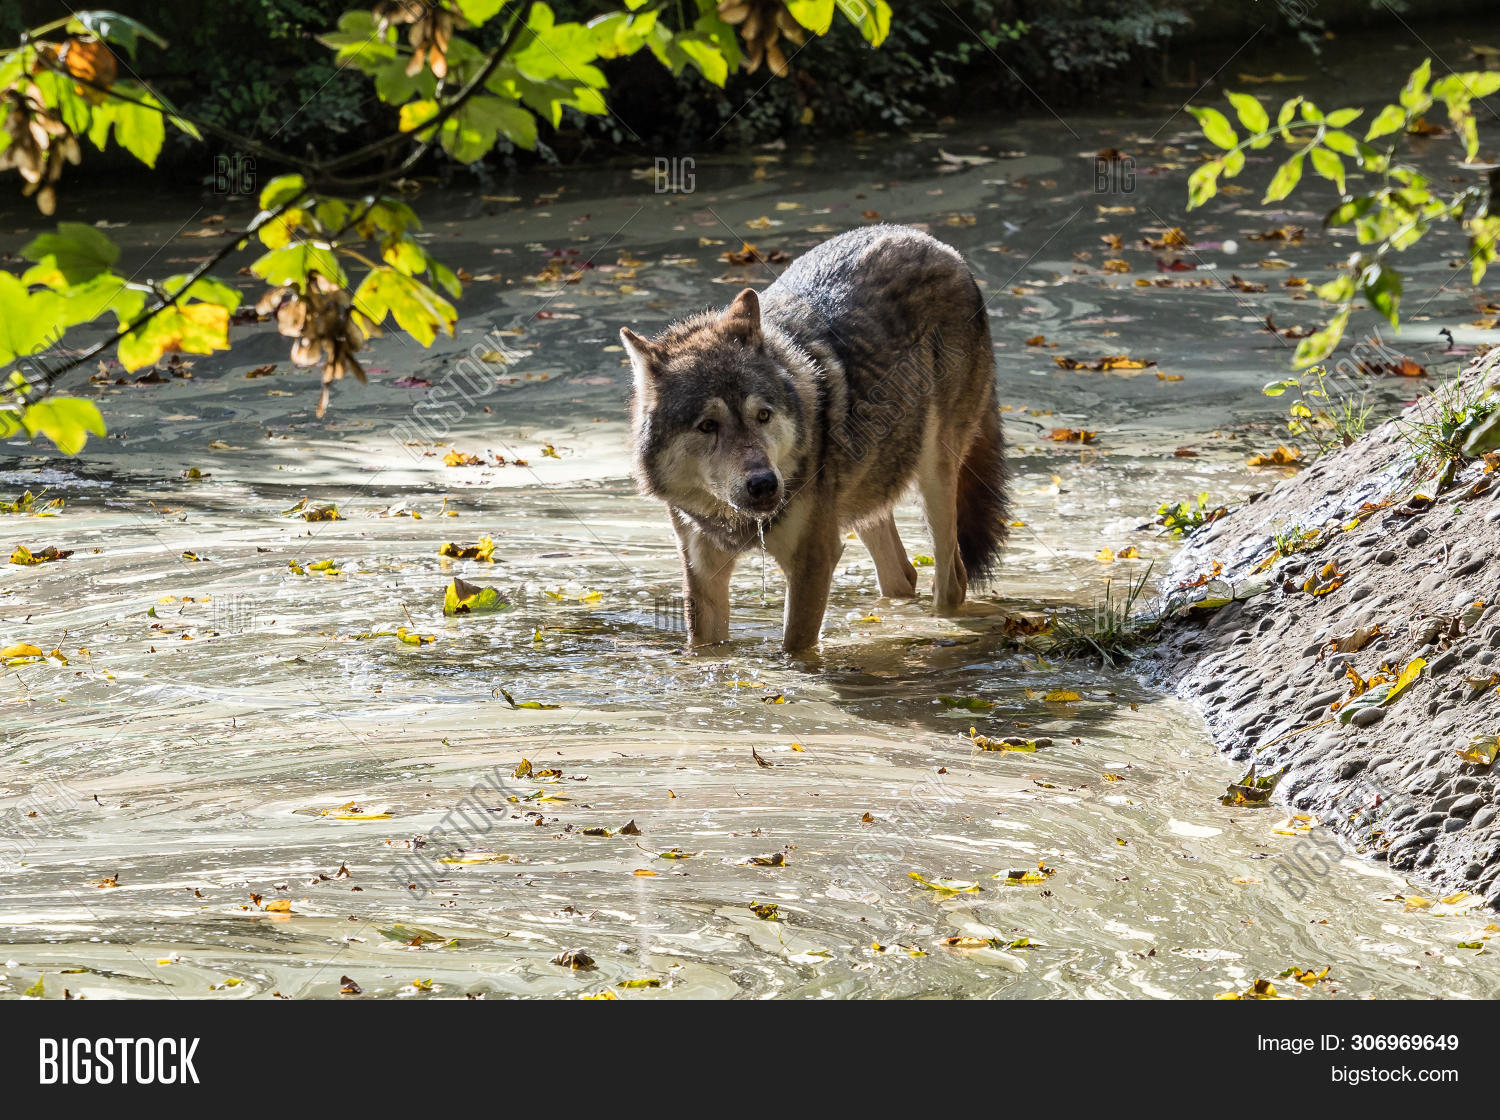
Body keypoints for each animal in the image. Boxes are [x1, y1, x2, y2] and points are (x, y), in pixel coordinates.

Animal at [621, 225, 1008, 652]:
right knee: (903, 576)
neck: (736, 521)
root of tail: (936, 243)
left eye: (763, 415)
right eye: (708, 425)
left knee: (951, 579)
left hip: (933, 478)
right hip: (868, 489)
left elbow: (795, 651)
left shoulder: (814, 560)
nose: (763, 484)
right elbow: (705, 653)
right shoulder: (702, 571)